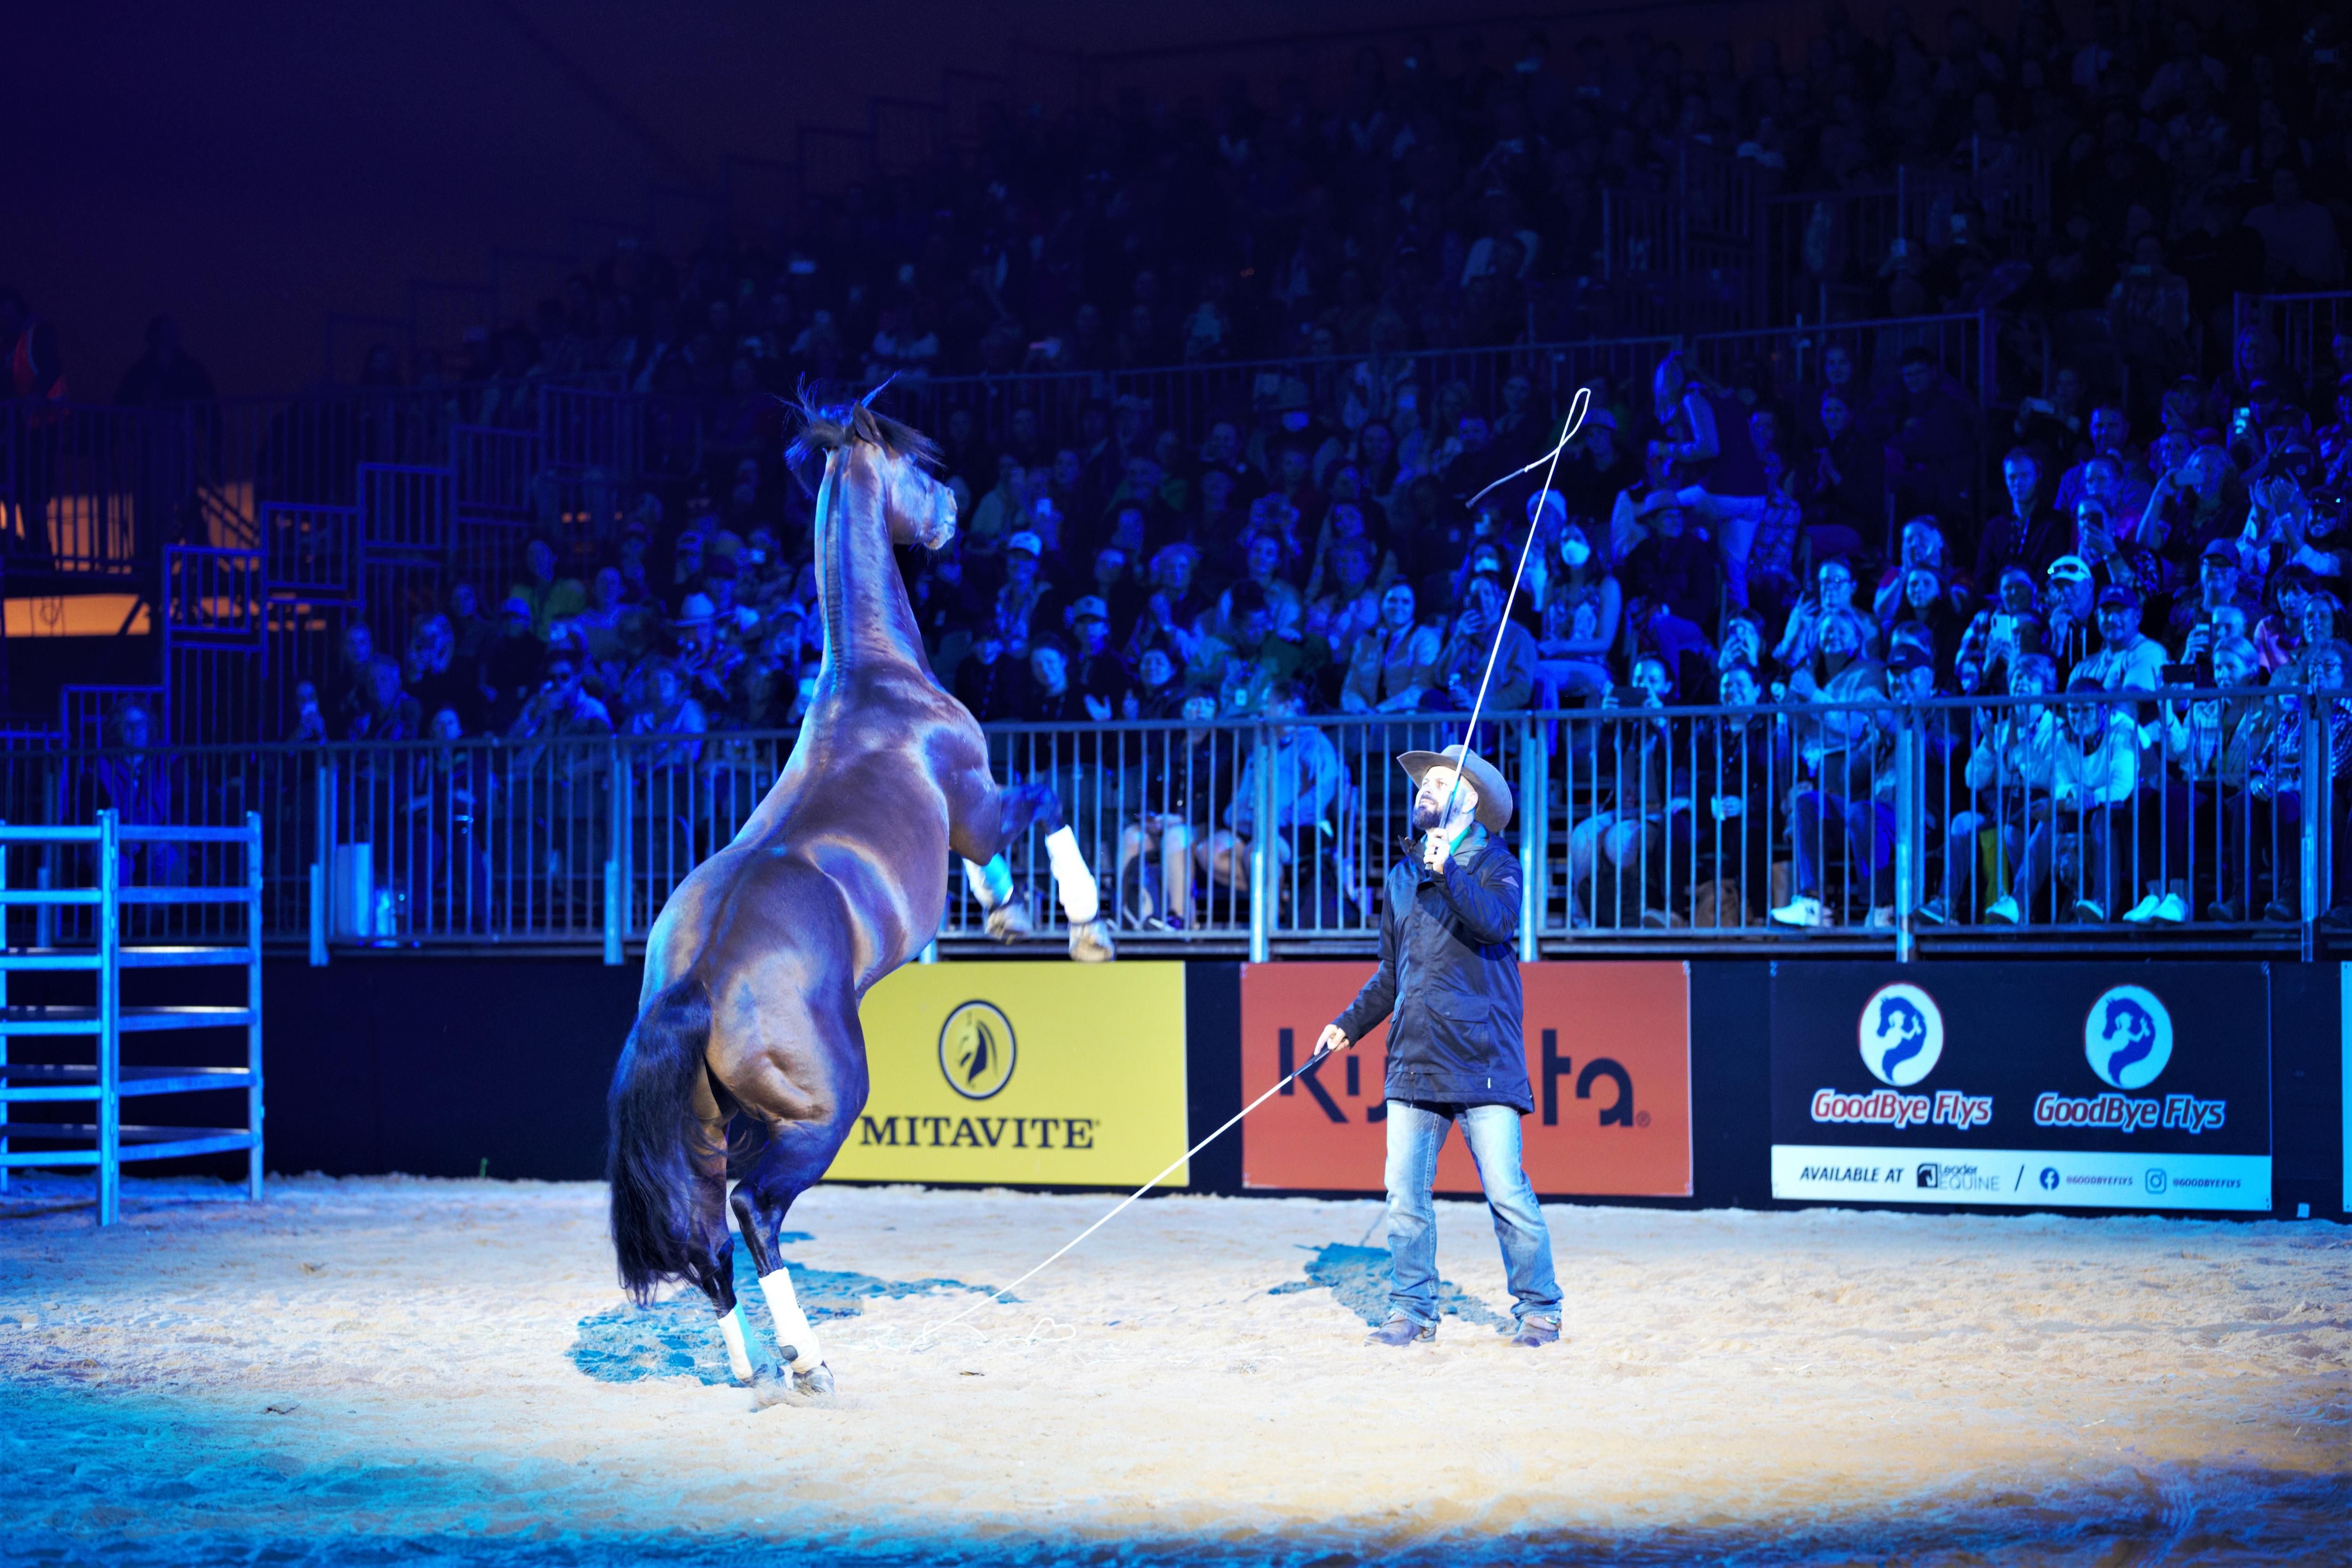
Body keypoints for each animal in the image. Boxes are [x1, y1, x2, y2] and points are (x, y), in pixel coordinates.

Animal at [606, 395, 1113, 1406]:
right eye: (922, 468)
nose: (952, 512)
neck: (876, 683)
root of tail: (699, 977)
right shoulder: (977, 800)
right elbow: (1044, 802)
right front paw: (1076, 922)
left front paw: (1005, 911)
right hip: (820, 1113)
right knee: (755, 1210)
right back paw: (806, 1359)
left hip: (711, 1127)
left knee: (710, 1236)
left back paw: (752, 1367)